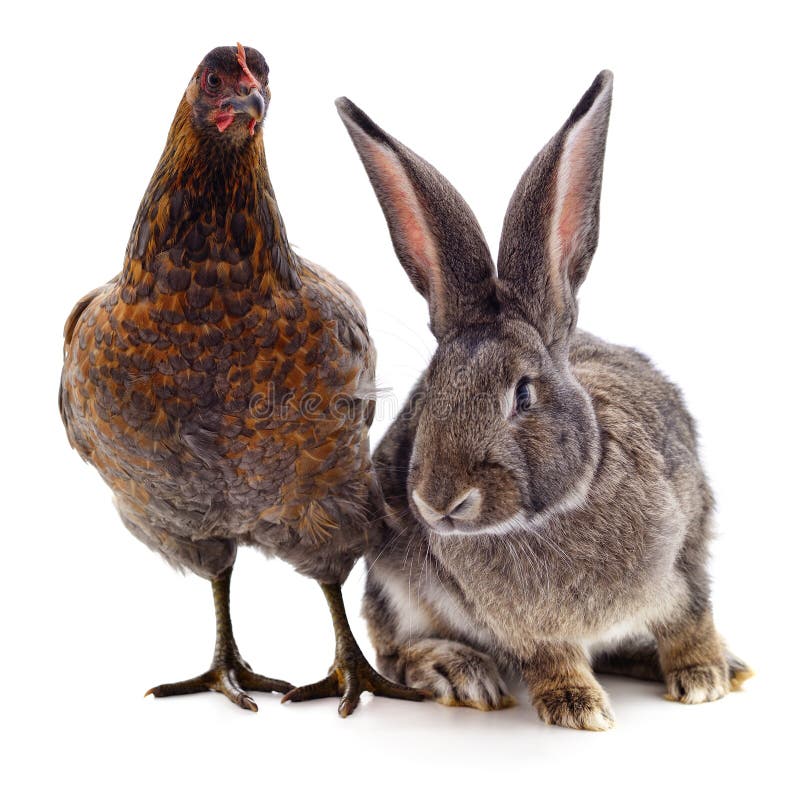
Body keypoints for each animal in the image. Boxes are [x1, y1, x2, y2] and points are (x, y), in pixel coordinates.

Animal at [334, 71, 753, 731]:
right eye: (429, 391)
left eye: (523, 393)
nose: (436, 502)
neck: (553, 512)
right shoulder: (525, 629)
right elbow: (550, 658)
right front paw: (578, 708)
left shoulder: (686, 557)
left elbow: (691, 620)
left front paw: (705, 678)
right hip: (393, 582)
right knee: (393, 649)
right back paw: (462, 672)